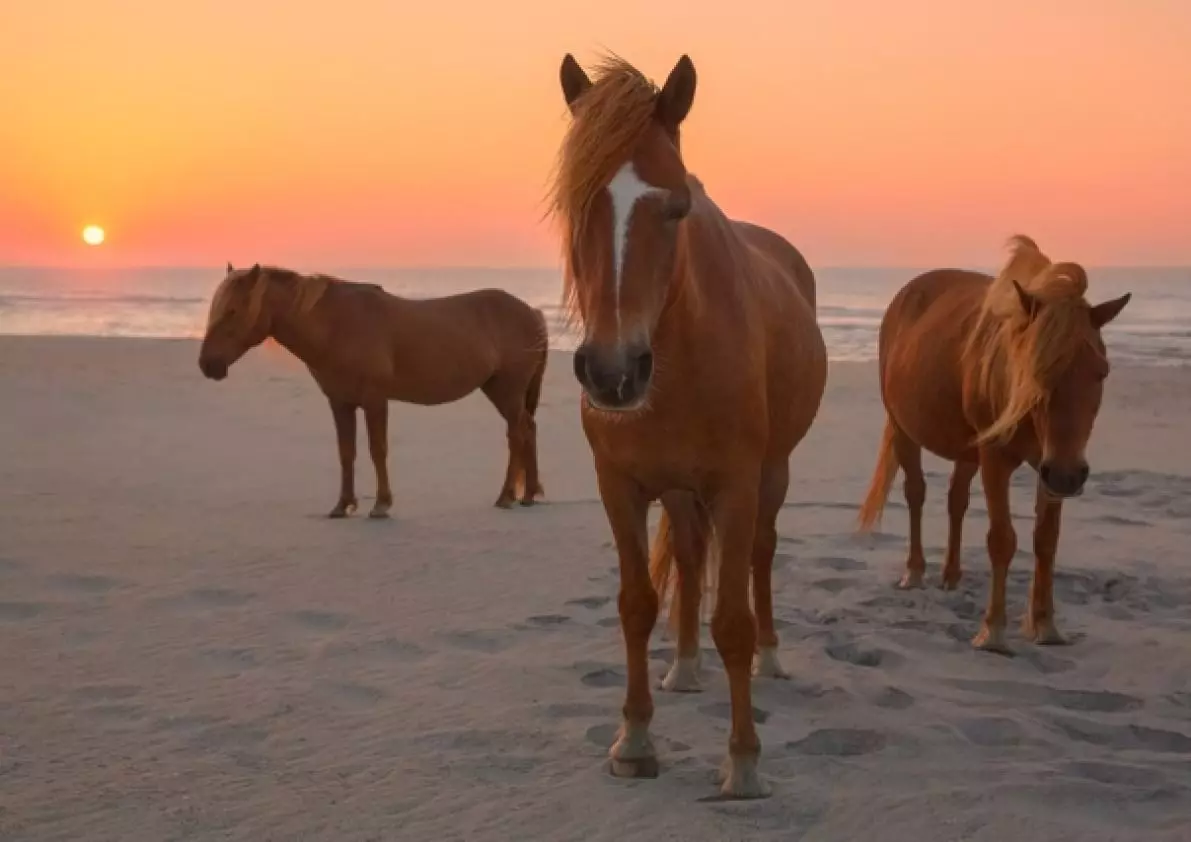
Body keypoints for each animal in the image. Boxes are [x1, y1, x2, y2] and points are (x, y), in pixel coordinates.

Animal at [196, 263, 547, 514]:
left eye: (232, 311)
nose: (207, 365)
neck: (336, 325)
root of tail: (531, 312)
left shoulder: (375, 400)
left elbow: (377, 449)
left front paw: (381, 504)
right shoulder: (341, 403)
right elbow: (346, 452)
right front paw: (343, 505)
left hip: (508, 391)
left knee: (517, 434)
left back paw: (506, 496)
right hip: (500, 391)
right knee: (528, 429)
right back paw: (529, 494)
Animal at [550, 52, 824, 795]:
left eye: (675, 207)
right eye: (575, 204)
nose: (612, 372)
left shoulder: (735, 484)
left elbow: (731, 617)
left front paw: (744, 762)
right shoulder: (619, 487)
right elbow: (636, 604)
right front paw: (635, 740)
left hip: (771, 476)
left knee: (759, 554)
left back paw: (770, 658)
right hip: (677, 490)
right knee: (693, 554)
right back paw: (685, 666)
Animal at [862, 236, 1129, 657]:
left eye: (1101, 372)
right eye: (1036, 369)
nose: (1070, 476)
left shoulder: (1047, 464)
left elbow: (1045, 540)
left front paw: (1045, 626)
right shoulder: (997, 459)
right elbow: (1002, 540)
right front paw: (993, 632)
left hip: (969, 450)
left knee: (956, 499)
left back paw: (952, 575)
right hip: (905, 429)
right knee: (916, 493)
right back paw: (915, 572)